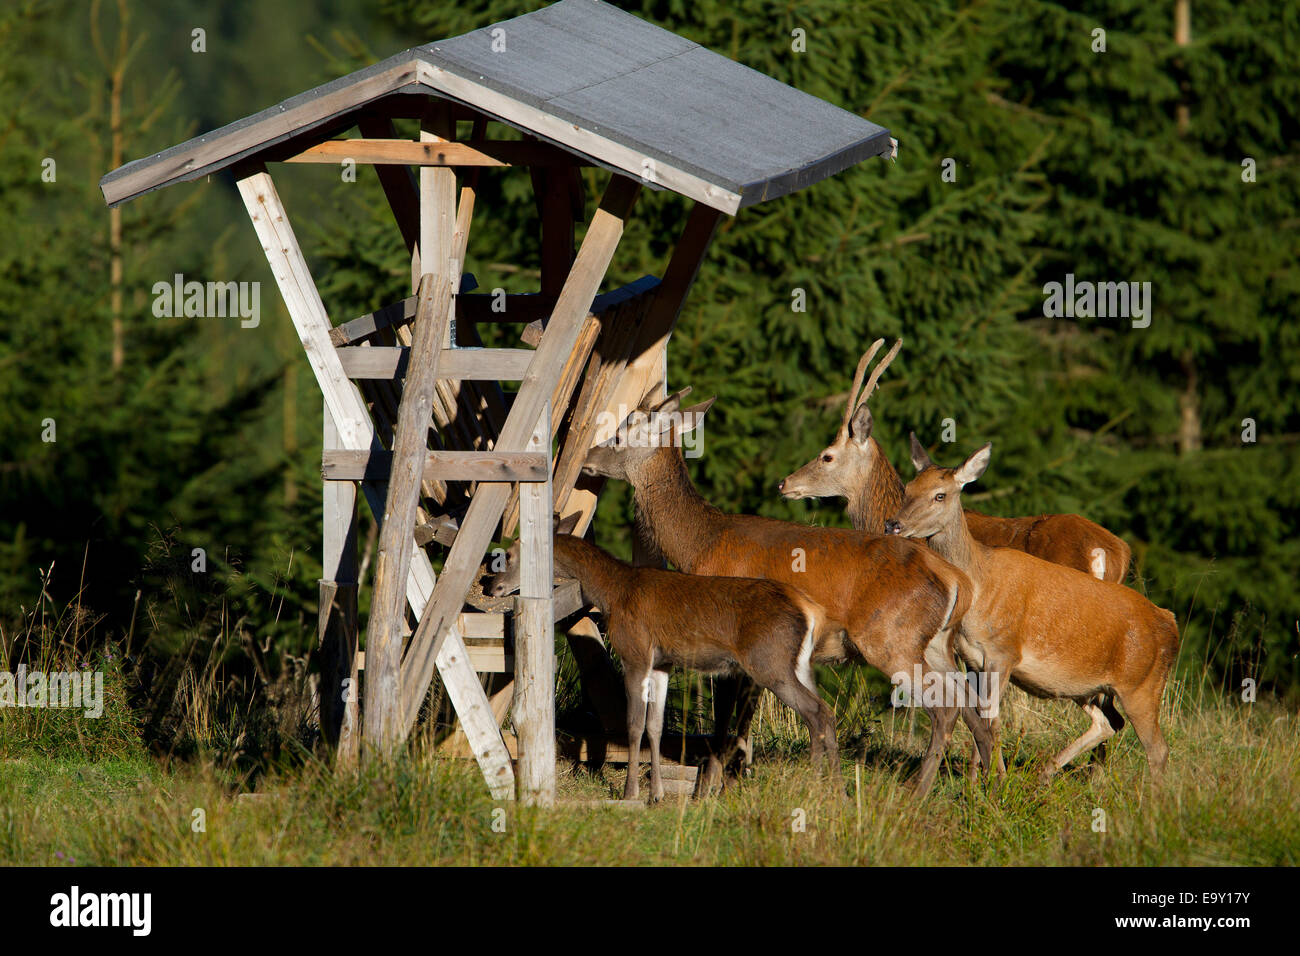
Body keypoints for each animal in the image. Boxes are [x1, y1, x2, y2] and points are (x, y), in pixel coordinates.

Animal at [485, 515, 847, 802]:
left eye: (511, 554)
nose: (493, 587)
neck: (612, 594)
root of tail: (810, 609)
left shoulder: (635, 652)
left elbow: (633, 725)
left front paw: (630, 792)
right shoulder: (662, 663)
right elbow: (655, 726)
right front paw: (655, 793)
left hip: (769, 661)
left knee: (815, 712)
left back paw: (816, 784)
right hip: (799, 664)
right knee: (826, 712)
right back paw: (836, 789)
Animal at [581, 388, 997, 796]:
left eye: (619, 434)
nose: (587, 459)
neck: (701, 543)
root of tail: (954, 577)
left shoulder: (729, 639)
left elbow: (725, 718)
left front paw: (710, 785)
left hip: (890, 640)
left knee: (945, 708)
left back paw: (917, 792)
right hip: (936, 644)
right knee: (973, 709)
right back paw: (986, 788)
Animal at [883, 437, 1179, 781]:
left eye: (939, 495)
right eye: (908, 487)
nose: (894, 524)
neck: (979, 585)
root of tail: (1170, 624)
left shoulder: (1003, 652)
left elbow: (992, 718)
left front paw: (994, 780)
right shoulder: (972, 657)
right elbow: (980, 715)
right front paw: (976, 780)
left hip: (1142, 684)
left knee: (1157, 748)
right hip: (1085, 686)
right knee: (1109, 722)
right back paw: (1045, 773)